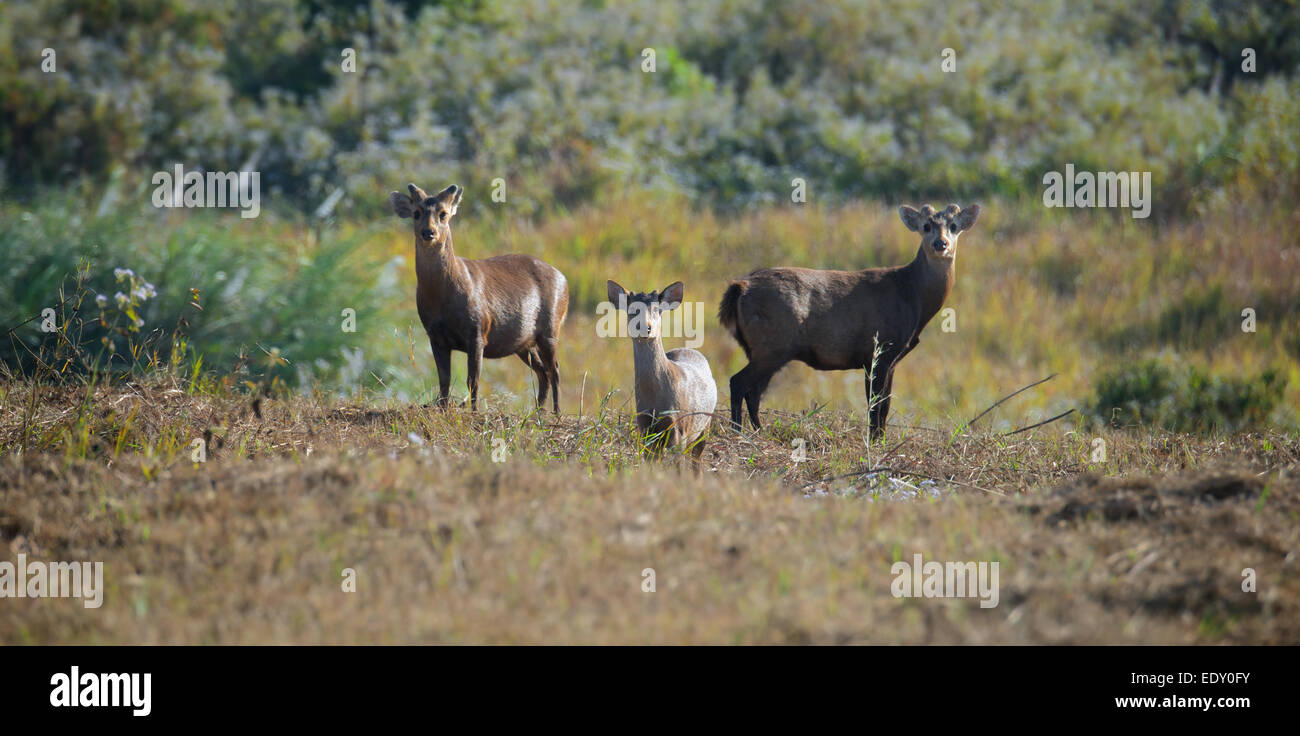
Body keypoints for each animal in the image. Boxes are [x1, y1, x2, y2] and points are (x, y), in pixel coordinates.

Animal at [390, 183, 569, 412]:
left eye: (443, 214)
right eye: (416, 213)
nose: (428, 232)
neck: (441, 298)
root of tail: (563, 279)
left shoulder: (477, 331)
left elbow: (472, 380)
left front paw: (473, 411)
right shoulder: (435, 336)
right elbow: (444, 379)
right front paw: (443, 408)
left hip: (550, 327)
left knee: (555, 370)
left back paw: (557, 412)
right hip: (524, 343)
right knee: (542, 372)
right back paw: (537, 411)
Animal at [606, 280, 718, 464]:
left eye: (656, 309)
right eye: (632, 310)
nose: (645, 327)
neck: (655, 399)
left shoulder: (679, 428)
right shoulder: (645, 429)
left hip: (705, 423)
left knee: (697, 458)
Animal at [718, 203, 980, 441]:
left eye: (954, 226)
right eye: (926, 226)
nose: (940, 244)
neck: (912, 296)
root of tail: (741, 287)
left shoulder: (891, 360)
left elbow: (885, 405)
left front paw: (881, 439)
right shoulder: (878, 349)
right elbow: (875, 405)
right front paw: (874, 441)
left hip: (763, 349)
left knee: (753, 391)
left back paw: (758, 431)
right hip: (773, 344)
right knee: (738, 382)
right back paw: (738, 431)